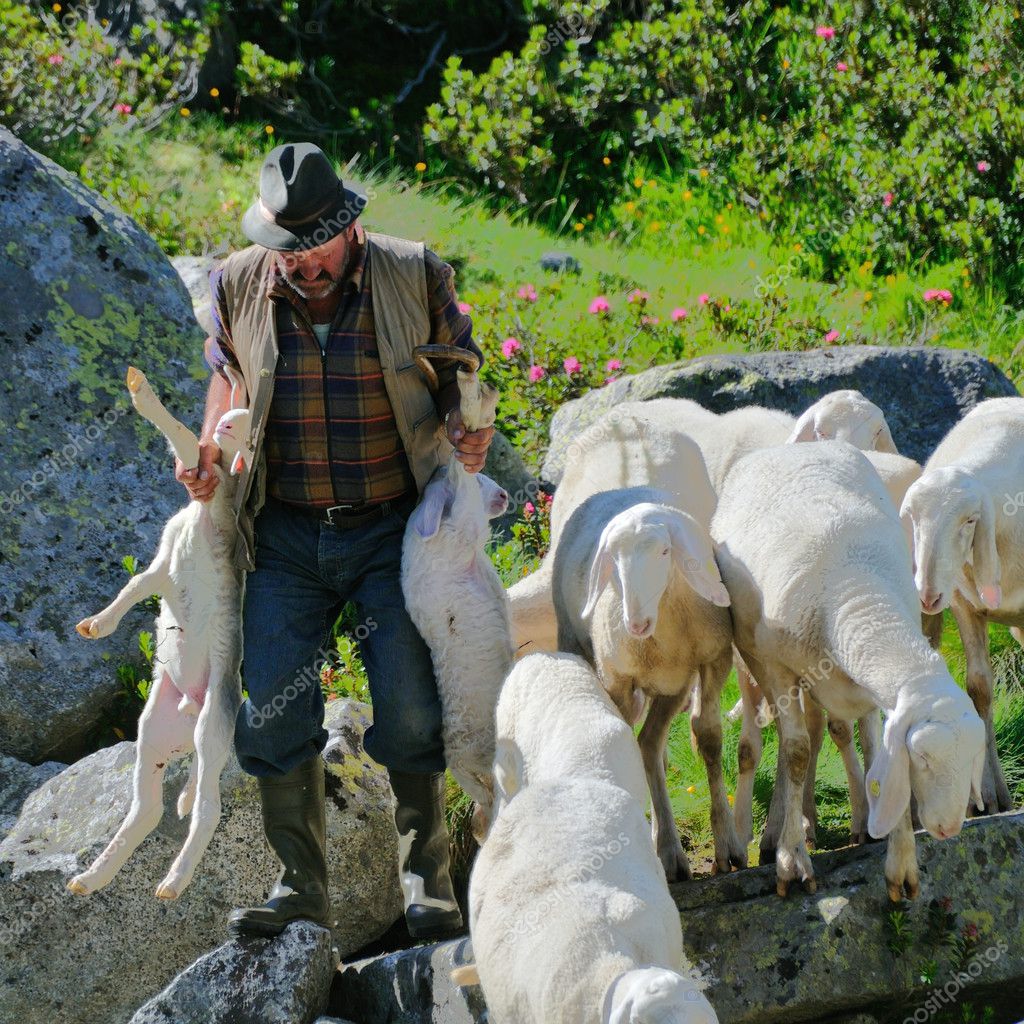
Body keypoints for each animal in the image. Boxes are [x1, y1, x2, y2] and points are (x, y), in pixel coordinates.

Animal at [69, 366, 250, 900]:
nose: (226, 425)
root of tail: (190, 708)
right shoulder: (162, 569)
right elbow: (133, 586)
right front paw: (95, 627)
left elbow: (185, 441)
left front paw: (139, 391)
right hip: (154, 732)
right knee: (147, 810)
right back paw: (88, 880)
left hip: (211, 729)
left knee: (206, 809)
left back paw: (171, 883)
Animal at [552, 487, 737, 880]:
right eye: (613, 558)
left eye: (665, 551)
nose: (635, 623)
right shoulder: (618, 680)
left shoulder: (712, 661)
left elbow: (708, 737)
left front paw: (728, 846)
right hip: (575, 641)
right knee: (644, 748)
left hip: (671, 687)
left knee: (652, 747)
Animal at [712, 441, 986, 900]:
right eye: (923, 757)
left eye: (973, 754)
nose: (949, 829)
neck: (859, 595)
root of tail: (791, 446)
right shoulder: (778, 670)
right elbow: (797, 753)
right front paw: (791, 861)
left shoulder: (871, 693)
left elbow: (875, 753)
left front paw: (900, 861)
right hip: (750, 660)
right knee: (773, 743)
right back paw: (767, 835)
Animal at [899, 395, 1024, 813]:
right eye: (912, 519)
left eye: (970, 521)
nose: (926, 595)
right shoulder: (962, 605)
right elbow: (979, 688)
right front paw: (989, 795)